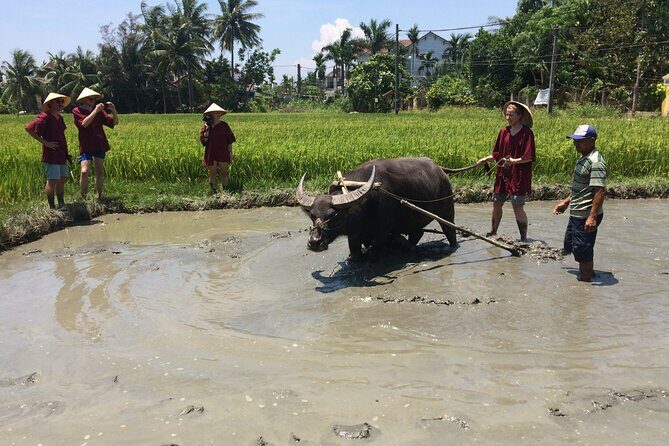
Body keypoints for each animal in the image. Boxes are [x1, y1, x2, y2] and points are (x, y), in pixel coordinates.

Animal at [296, 157, 477, 259]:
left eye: (333, 215)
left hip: (447, 211)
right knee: (417, 233)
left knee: (450, 232)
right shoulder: (354, 235)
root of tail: (440, 169)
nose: (314, 242)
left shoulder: (383, 231)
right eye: (312, 215)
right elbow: (355, 253)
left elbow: (374, 251)